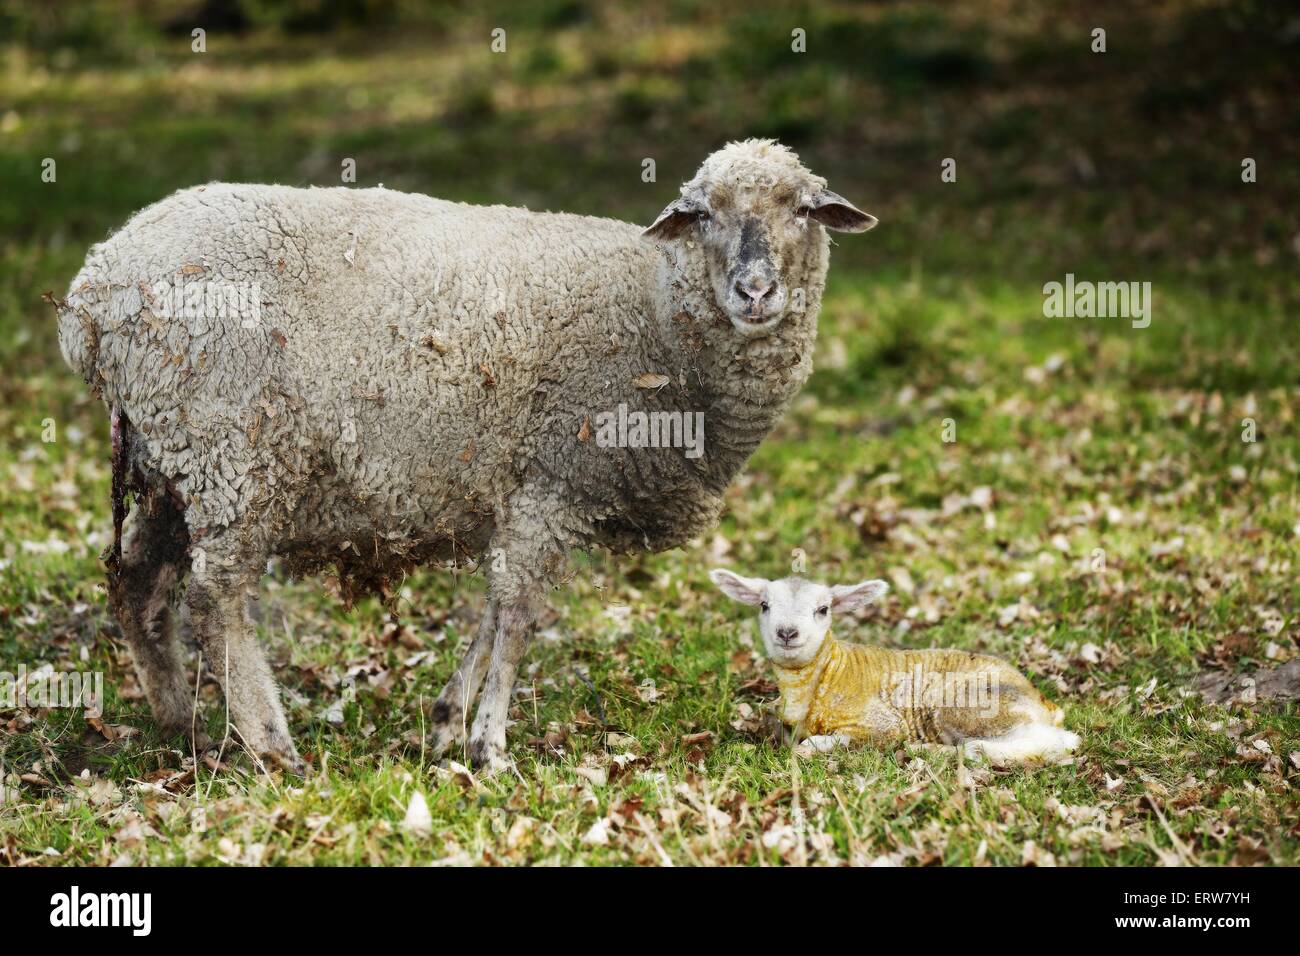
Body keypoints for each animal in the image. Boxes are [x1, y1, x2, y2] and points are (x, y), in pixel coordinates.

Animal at [55, 138, 878, 775]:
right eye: (704, 213)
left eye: (803, 210)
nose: (756, 291)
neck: (656, 308)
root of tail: (91, 295)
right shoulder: (550, 479)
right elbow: (516, 615)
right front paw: (490, 745)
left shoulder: (517, 489)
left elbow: (493, 608)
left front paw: (450, 720)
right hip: (232, 449)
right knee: (214, 599)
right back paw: (269, 745)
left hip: (171, 463)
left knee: (137, 582)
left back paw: (182, 725)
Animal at [707, 572, 1081, 764]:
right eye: (764, 605)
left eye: (823, 609)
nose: (787, 633)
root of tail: (1045, 702)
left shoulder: (883, 723)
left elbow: (828, 742)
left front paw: (815, 747)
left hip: (970, 704)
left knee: (1056, 741)